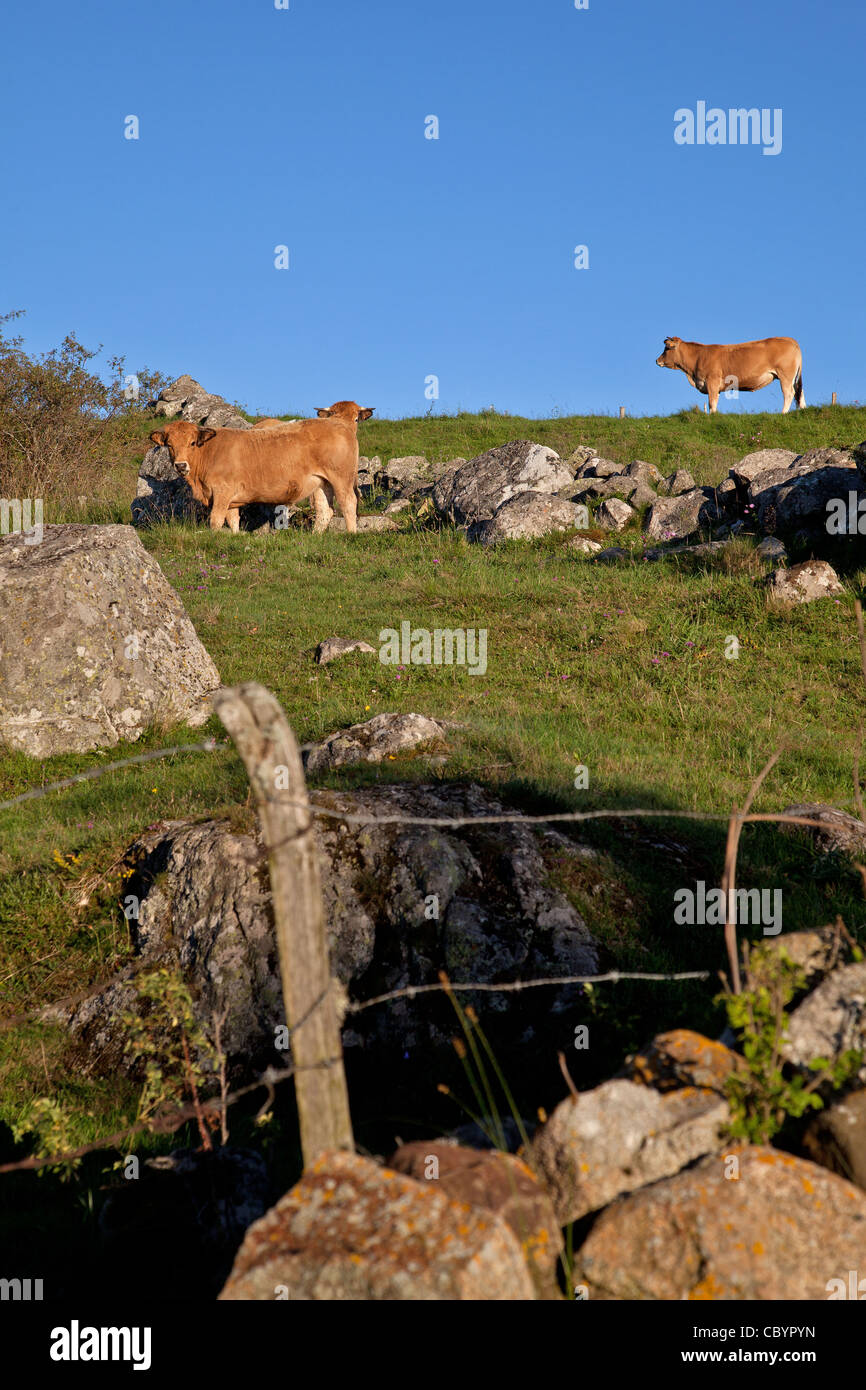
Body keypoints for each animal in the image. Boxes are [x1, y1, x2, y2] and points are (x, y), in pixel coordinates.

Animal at [148, 418, 360, 533]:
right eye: (169, 445)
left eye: (192, 443)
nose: (180, 465)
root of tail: (340, 425)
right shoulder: (231, 499)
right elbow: (232, 519)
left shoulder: (222, 491)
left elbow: (216, 519)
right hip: (322, 483)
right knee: (325, 510)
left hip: (341, 478)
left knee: (348, 503)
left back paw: (351, 533)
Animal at [655, 336, 805, 413]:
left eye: (666, 348)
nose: (657, 360)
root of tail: (790, 340)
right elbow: (714, 402)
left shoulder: (712, 382)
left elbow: (712, 403)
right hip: (793, 377)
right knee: (799, 392)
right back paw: (802, 410)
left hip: (785, 375)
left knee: (789, 393)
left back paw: (783, 413)